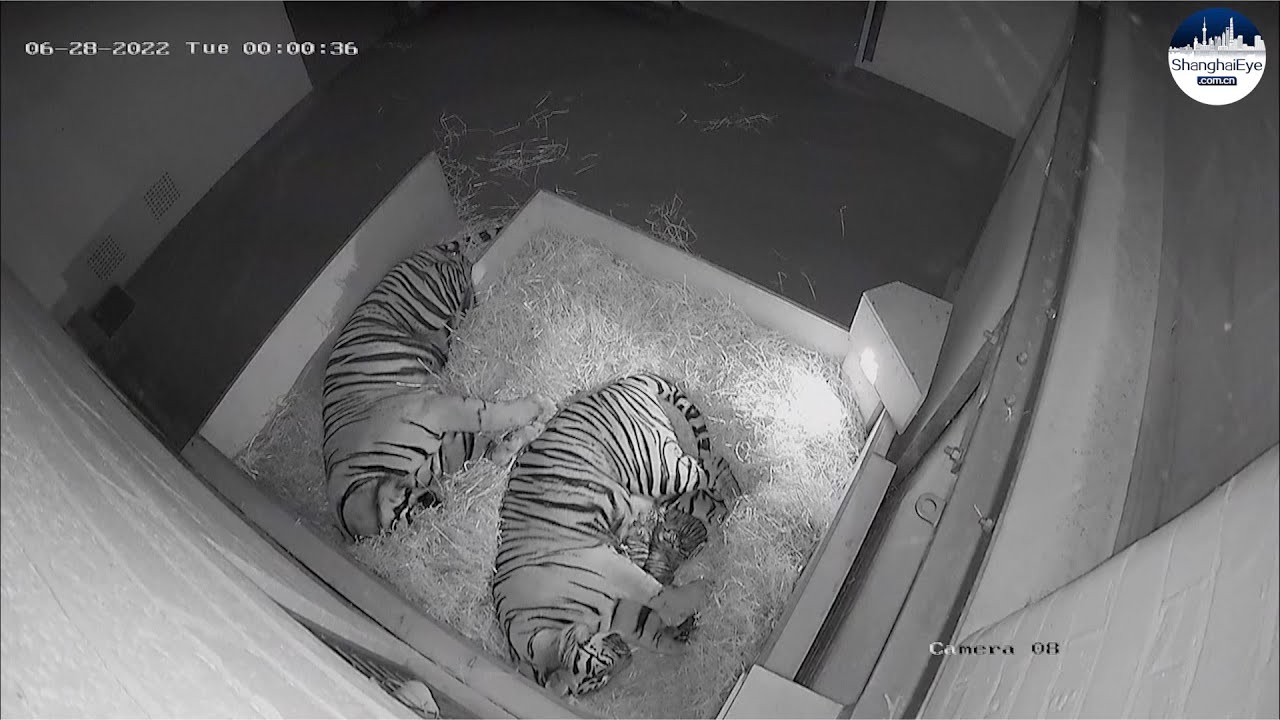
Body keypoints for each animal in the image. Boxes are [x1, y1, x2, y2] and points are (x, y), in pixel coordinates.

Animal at [321, 224, 557, 541]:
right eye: (407, 519)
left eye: (403, 510)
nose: (434, 502)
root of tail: (425, 252)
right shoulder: (444, 449)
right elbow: (485, 447)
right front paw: (526, 434)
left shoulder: (432, 408)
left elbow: (486, 415)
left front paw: (539, 407)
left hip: (434, 295)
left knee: (463, 267)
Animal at [491, 372, 741, 697]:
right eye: (600, 678)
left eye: (597, 668)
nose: (626, 659)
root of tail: (624, 381)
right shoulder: (617, 608)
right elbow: (647, 623)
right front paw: (676, 642)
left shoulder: (606, 566)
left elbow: (659, 594)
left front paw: (701, 592)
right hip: (664, 490)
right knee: (704, 499)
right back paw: (726, 513)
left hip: (656, 468)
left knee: (711, 464)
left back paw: (736, 494)